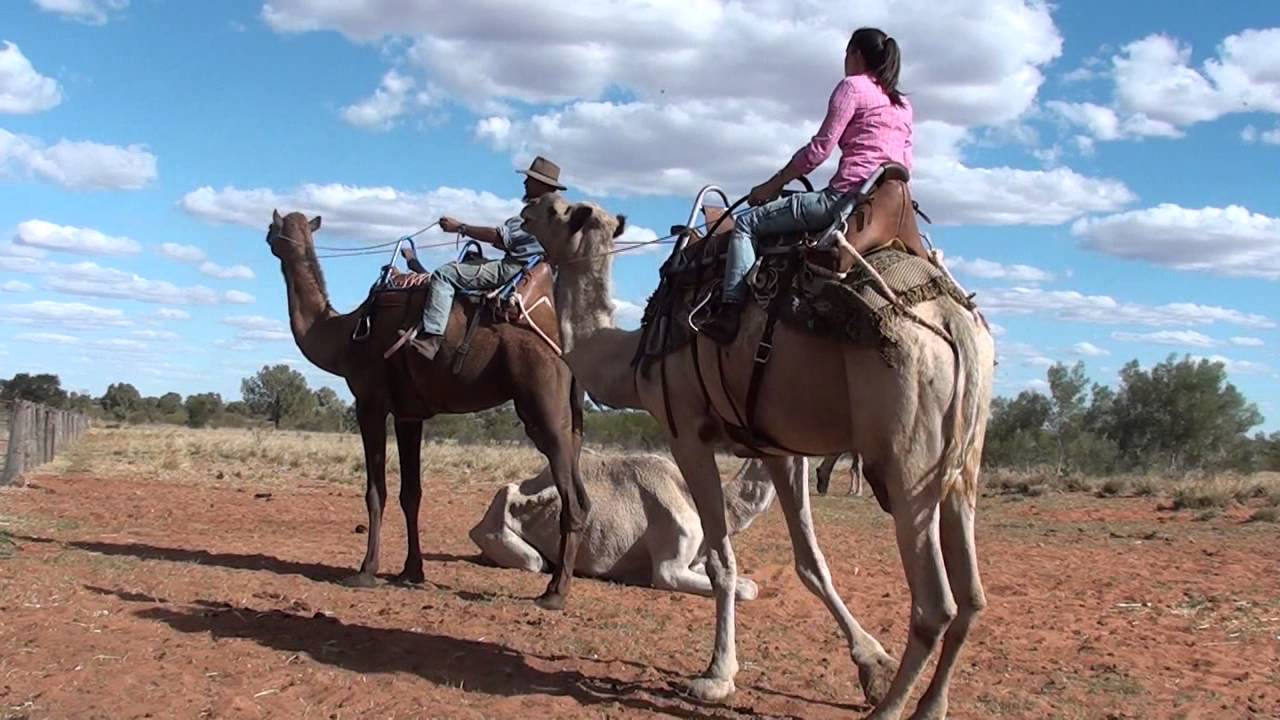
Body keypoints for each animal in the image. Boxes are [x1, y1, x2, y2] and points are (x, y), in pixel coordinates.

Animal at [265, 210, 590, 610]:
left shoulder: (369, 403)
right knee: (581, 488)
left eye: (271, 230)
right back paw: (556, 585)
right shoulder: (409, 415)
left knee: (570, 496)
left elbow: (376, 491)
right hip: (571, 416)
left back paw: (555, 594)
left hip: (541, 401)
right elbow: (411, 494)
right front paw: (411, 572)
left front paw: (365, 572)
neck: (343, 335)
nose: (268, 237)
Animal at [519, 193, 995, 720]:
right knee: (972, 595)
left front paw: (715, 676)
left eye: (561, 212)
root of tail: (955, 320)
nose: (528, 204)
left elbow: (721, 563)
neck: (631, 357)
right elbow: (811, 563)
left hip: (907, 461)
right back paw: (931, 705)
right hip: (963, 459)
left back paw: (891, 710)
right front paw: (872, 663)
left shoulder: (686, 431)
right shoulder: (778, 450)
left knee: (935, 603)